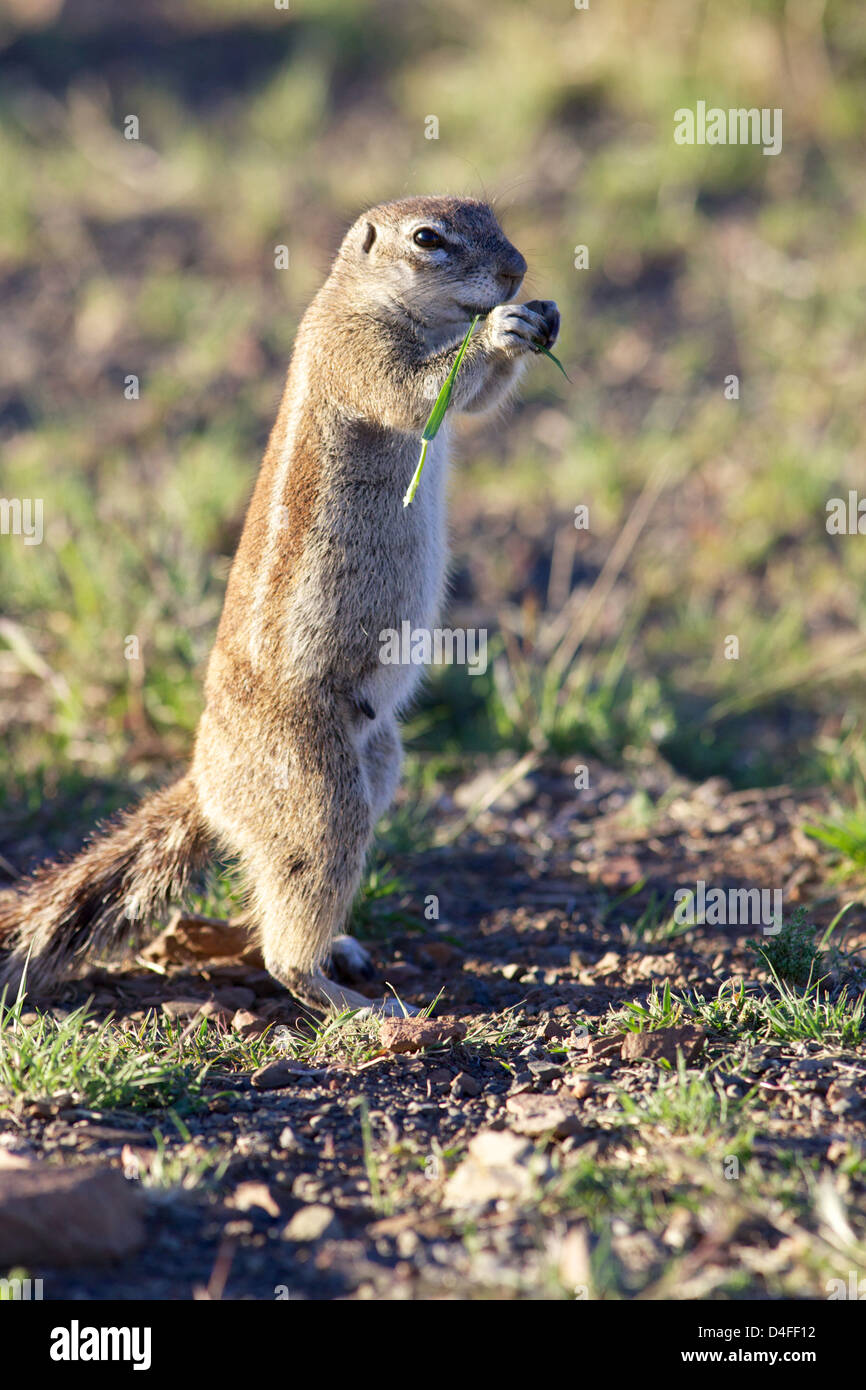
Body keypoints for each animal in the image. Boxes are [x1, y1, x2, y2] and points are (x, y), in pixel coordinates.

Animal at [0, 195, 560, 1014]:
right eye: (429, 238)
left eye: (492, 213)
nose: (518, 273)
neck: (363, 296)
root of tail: (205, 783)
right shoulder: (355, 352)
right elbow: (420, 392)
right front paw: (503, 328)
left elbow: (476, 400)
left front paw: (541, 316)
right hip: (320, 792)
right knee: (284, 934)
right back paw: (353, 1001)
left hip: (379, 760)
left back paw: (344, 951)